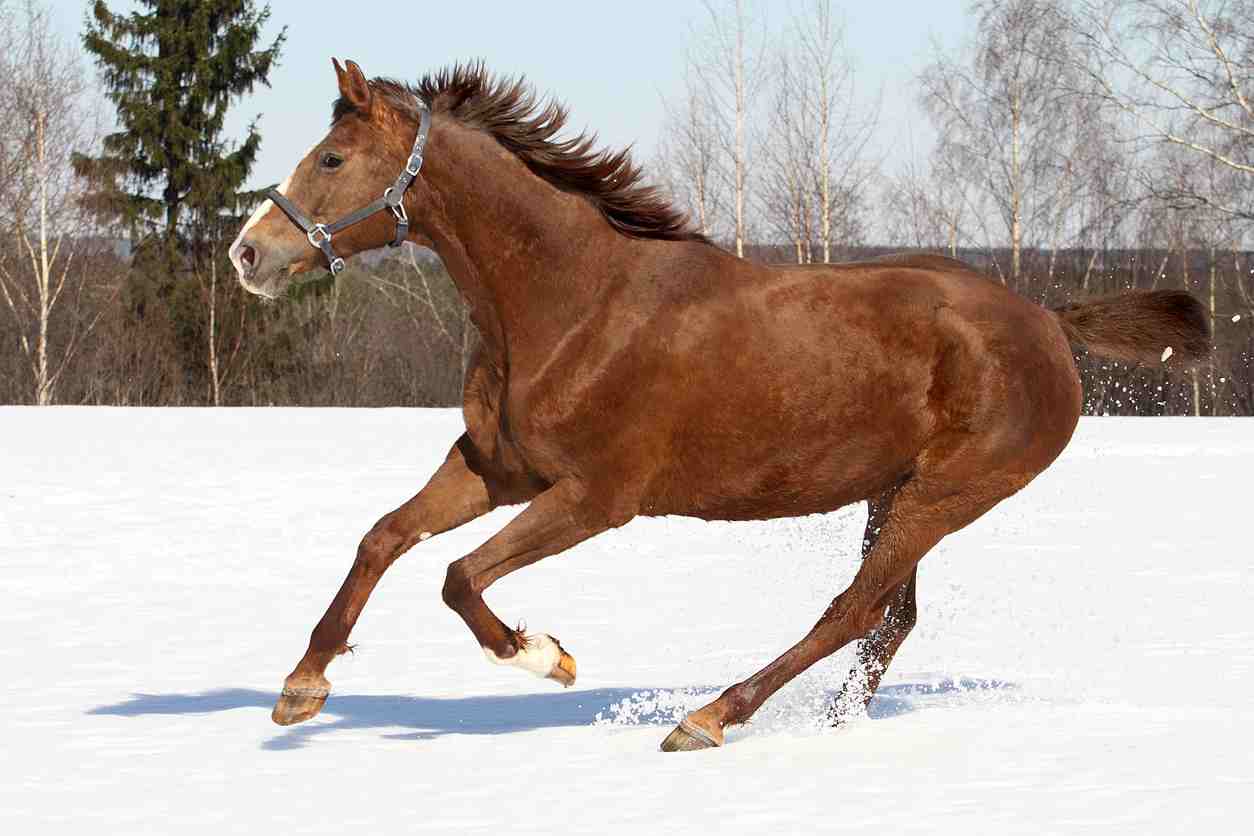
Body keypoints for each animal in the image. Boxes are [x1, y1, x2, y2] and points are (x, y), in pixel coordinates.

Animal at [229, 59, 1210, 751]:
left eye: (332, 158)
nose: (248, 255)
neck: (574, 302)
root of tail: (1046, 318)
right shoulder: (497, 470)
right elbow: (384, 537)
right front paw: (301, 688)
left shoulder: (596, 498)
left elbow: (459, 575)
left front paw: (546, 657)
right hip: (893, 490)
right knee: (889, 620)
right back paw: (826, 728)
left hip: (946, 495)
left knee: (852, 611)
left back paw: (707, 719)